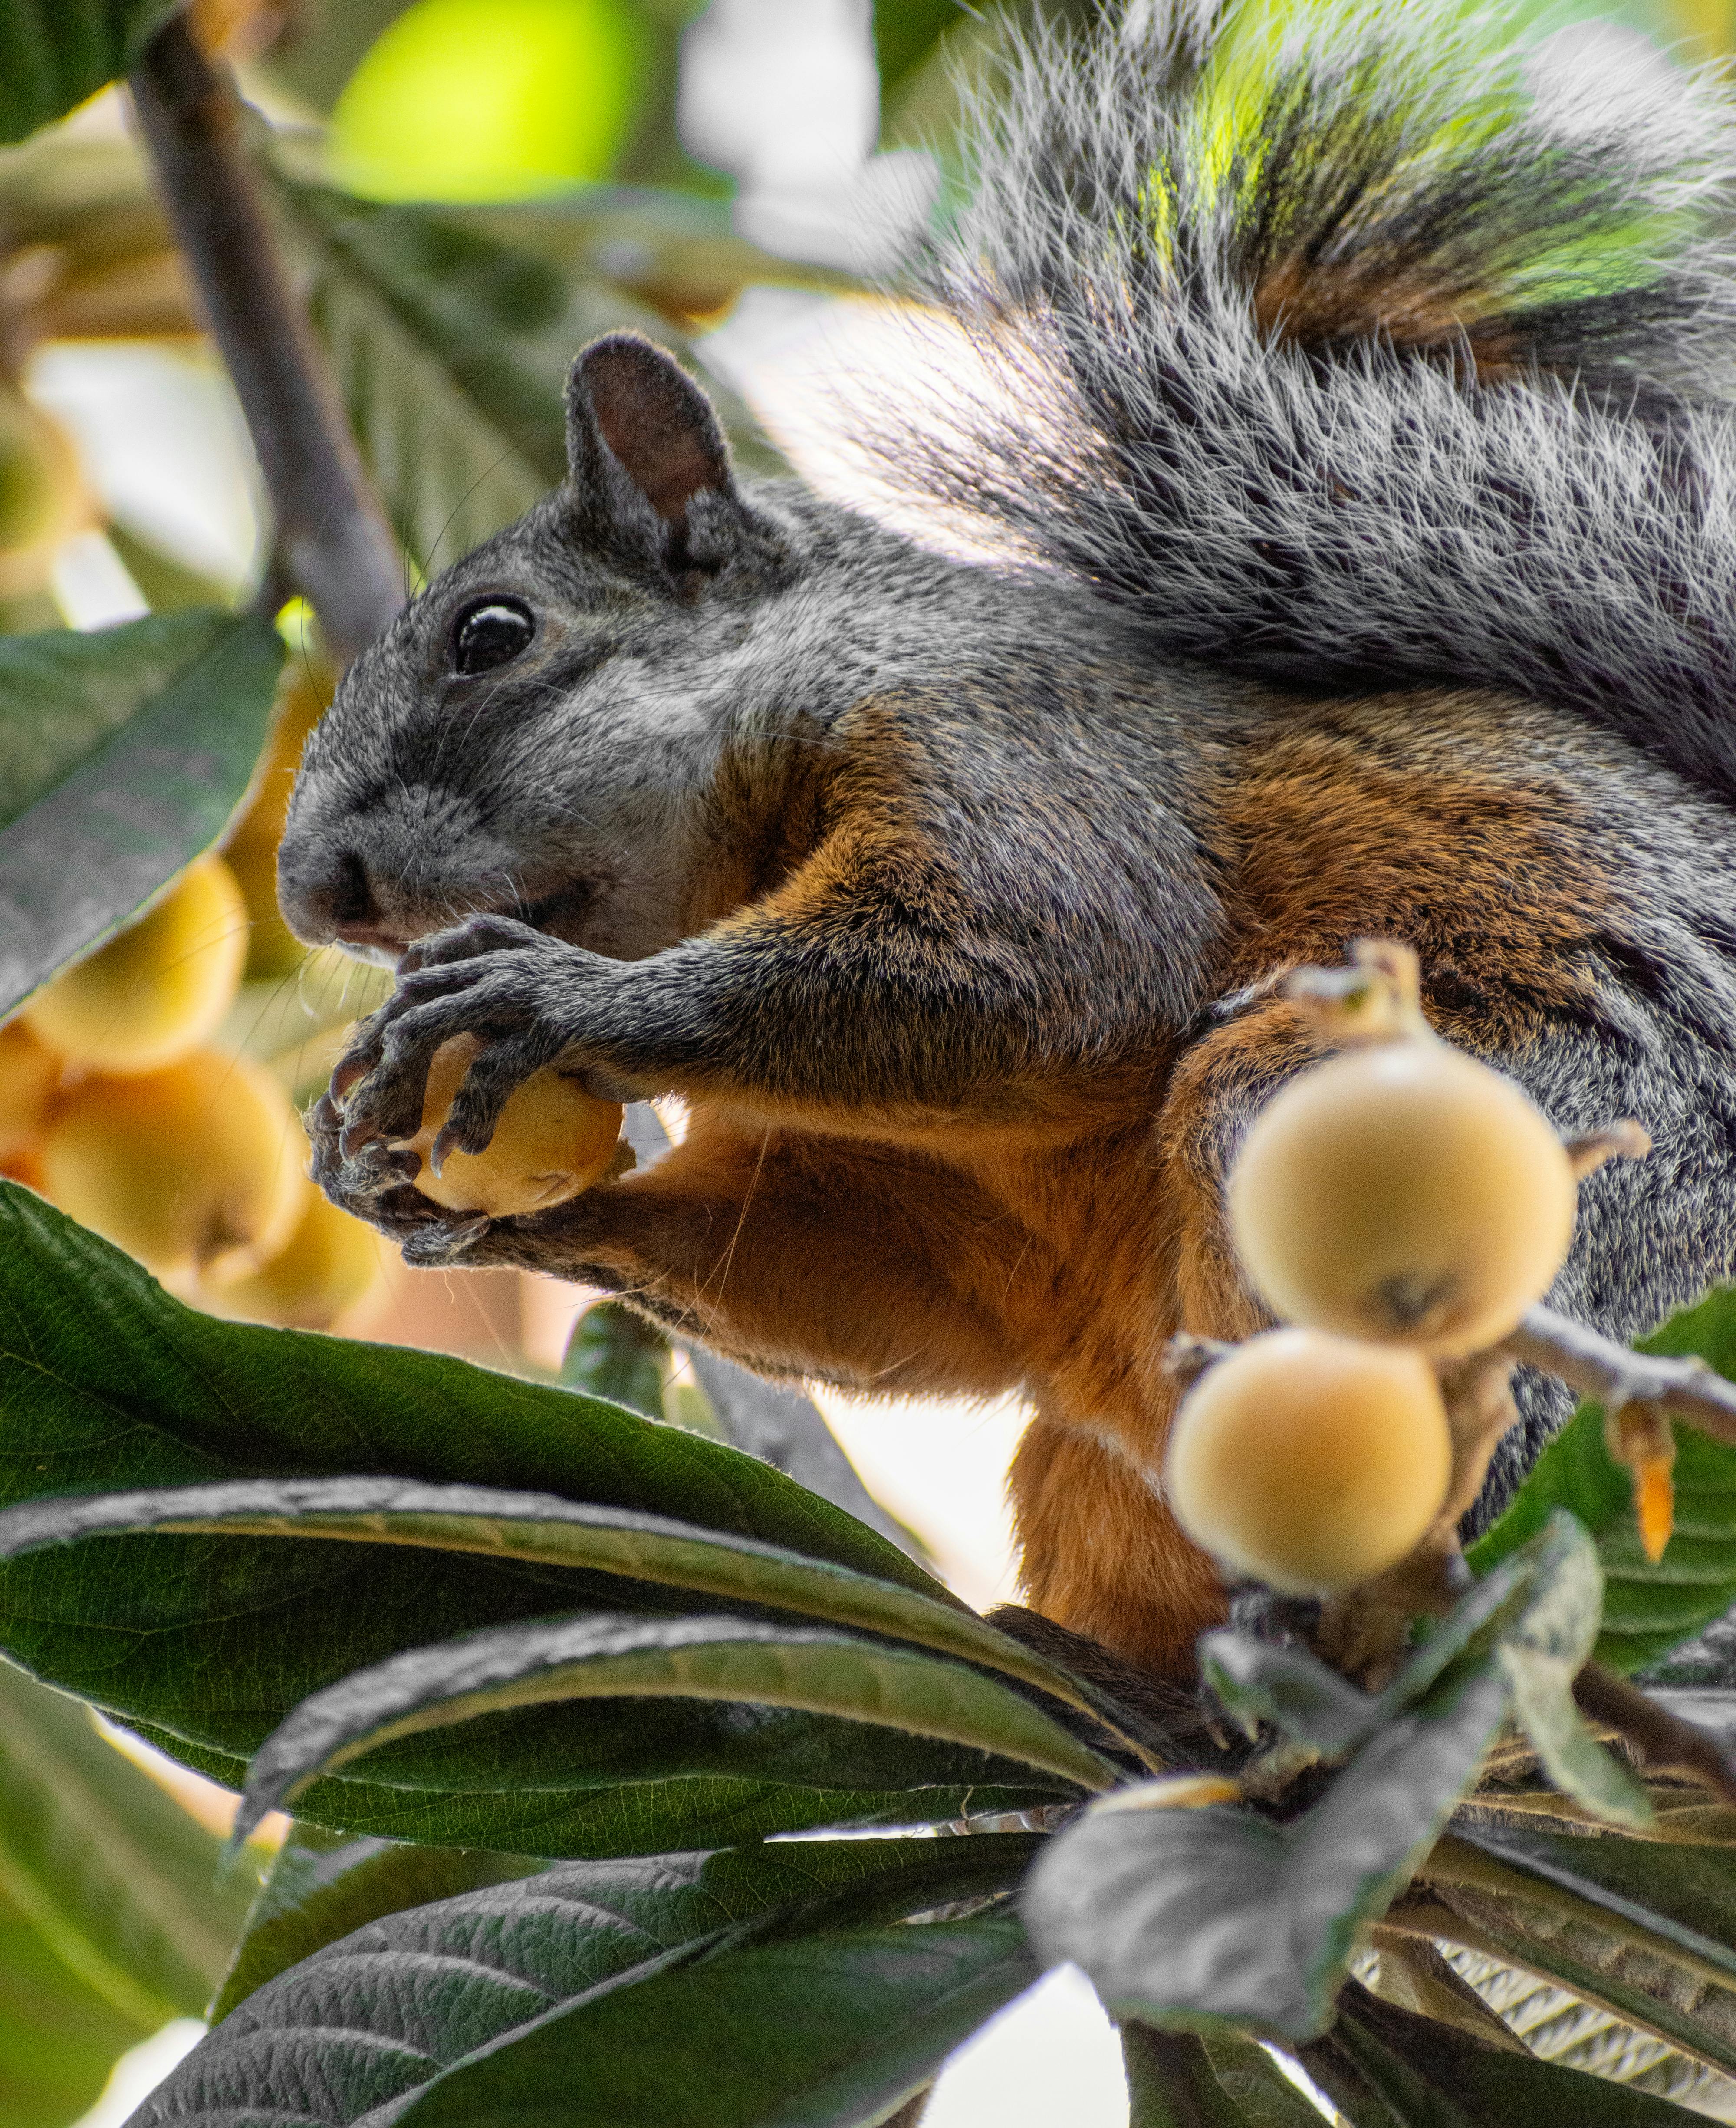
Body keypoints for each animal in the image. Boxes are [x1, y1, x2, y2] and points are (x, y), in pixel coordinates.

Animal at [277, 0, 1736, 1680]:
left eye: (492, 636)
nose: (313, 890)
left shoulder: (1024, 757)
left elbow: (1040, 971)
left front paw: (557, 999)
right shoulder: (899, 1192)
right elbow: (868, 1278)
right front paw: (395, 1171)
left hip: (1495, 1150)